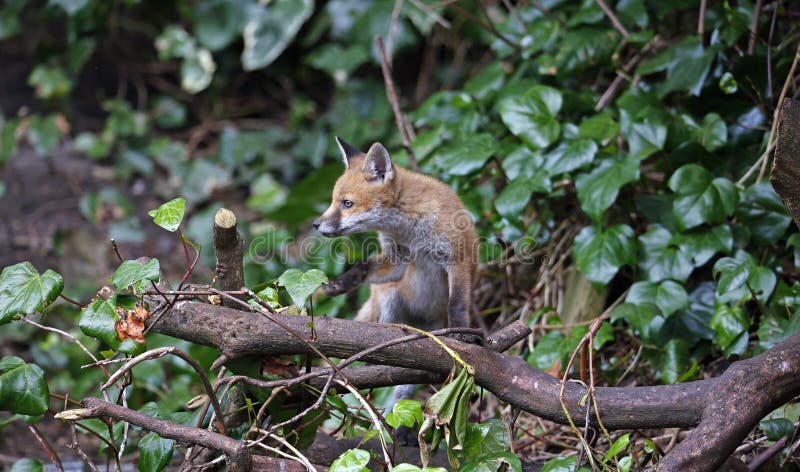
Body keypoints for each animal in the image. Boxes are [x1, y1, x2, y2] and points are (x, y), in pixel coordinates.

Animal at [313, 137, 480, 339]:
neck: (411, 232)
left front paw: (461, 331)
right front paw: (340, 284)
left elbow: (456, 303)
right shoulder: (396, 260)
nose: (315, 224)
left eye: (347, 203)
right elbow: (363, 265)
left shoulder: (457, 257)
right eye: (332, 201)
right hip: (388, 298)